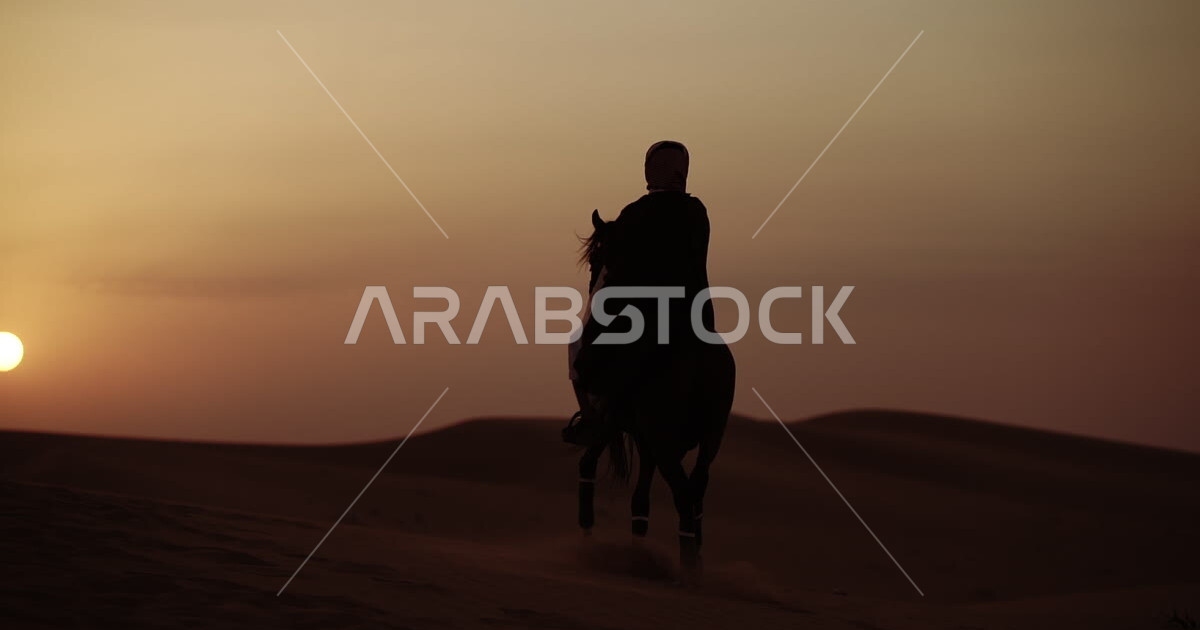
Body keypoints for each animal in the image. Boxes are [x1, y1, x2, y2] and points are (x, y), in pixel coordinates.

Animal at [572, 209, 736, 573]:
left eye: (595, 262)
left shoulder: (612, 424)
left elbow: (587, 468)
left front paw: (587, 539)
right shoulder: (645, 442)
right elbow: (640, 505)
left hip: (662, 443)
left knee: (684, 495)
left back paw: (688, 569)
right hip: (709, 438)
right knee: (697, 491)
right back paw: (694, 560)